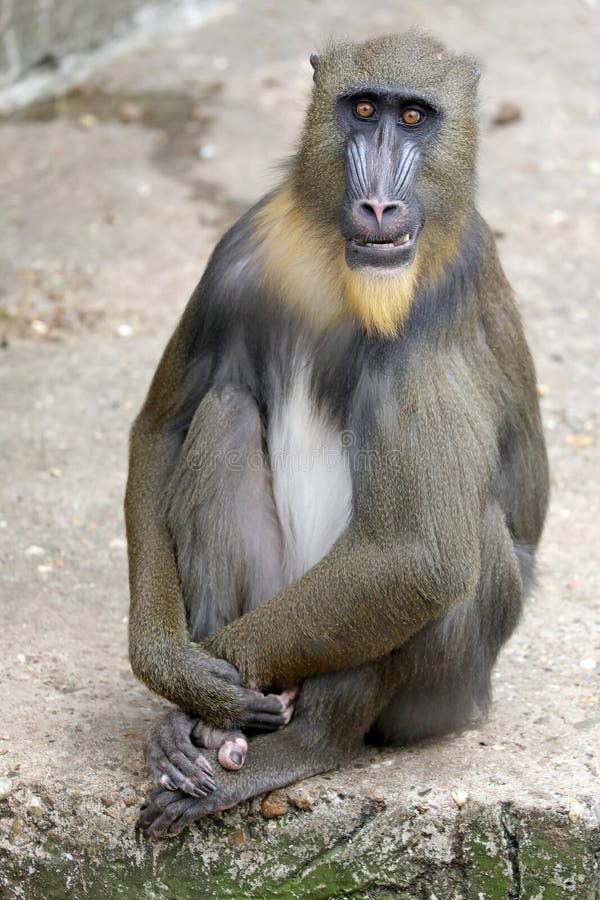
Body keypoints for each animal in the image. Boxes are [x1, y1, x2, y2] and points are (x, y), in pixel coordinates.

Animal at [126, 32, 549, 838]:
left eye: (414, 117)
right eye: (361, 110)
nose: (379, 202)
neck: (337, 267)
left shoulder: (432, 309)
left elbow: (419, 554)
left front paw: (201, 696)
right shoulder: (237, 251)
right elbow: (160, 433)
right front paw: (182, 677)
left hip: (444, 688)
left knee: (451, 543)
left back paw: (290, 746)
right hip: (278, 594)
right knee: (223, 411)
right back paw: (213, 730)